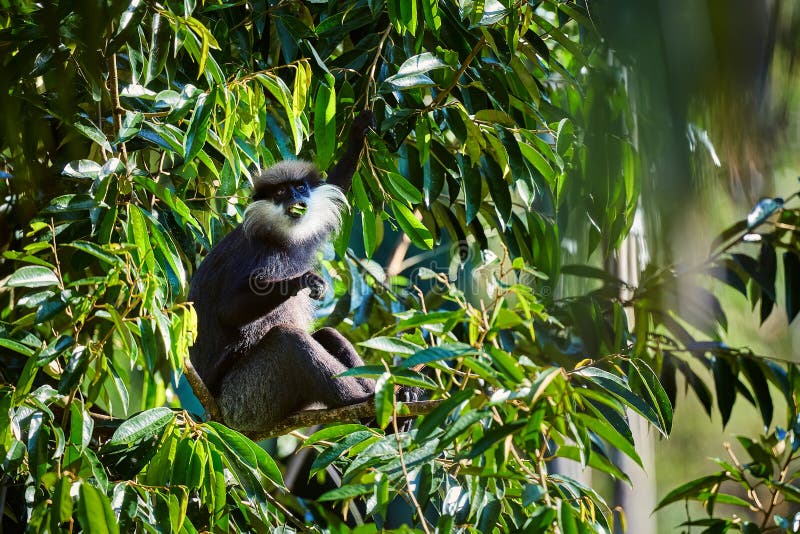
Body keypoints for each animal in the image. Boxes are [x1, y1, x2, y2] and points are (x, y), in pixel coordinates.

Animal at [188, 111, 380, 432]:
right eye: (280, 192)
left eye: (299, 187)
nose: (294, 198)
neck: (280, 239)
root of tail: (216, 414)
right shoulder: (256, 254)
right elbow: (228, 311)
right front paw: (302, 281)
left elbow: (338, 181)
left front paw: (358, 132)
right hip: (247, 399)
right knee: (288, 341)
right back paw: (362, 402)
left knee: (327, 334)